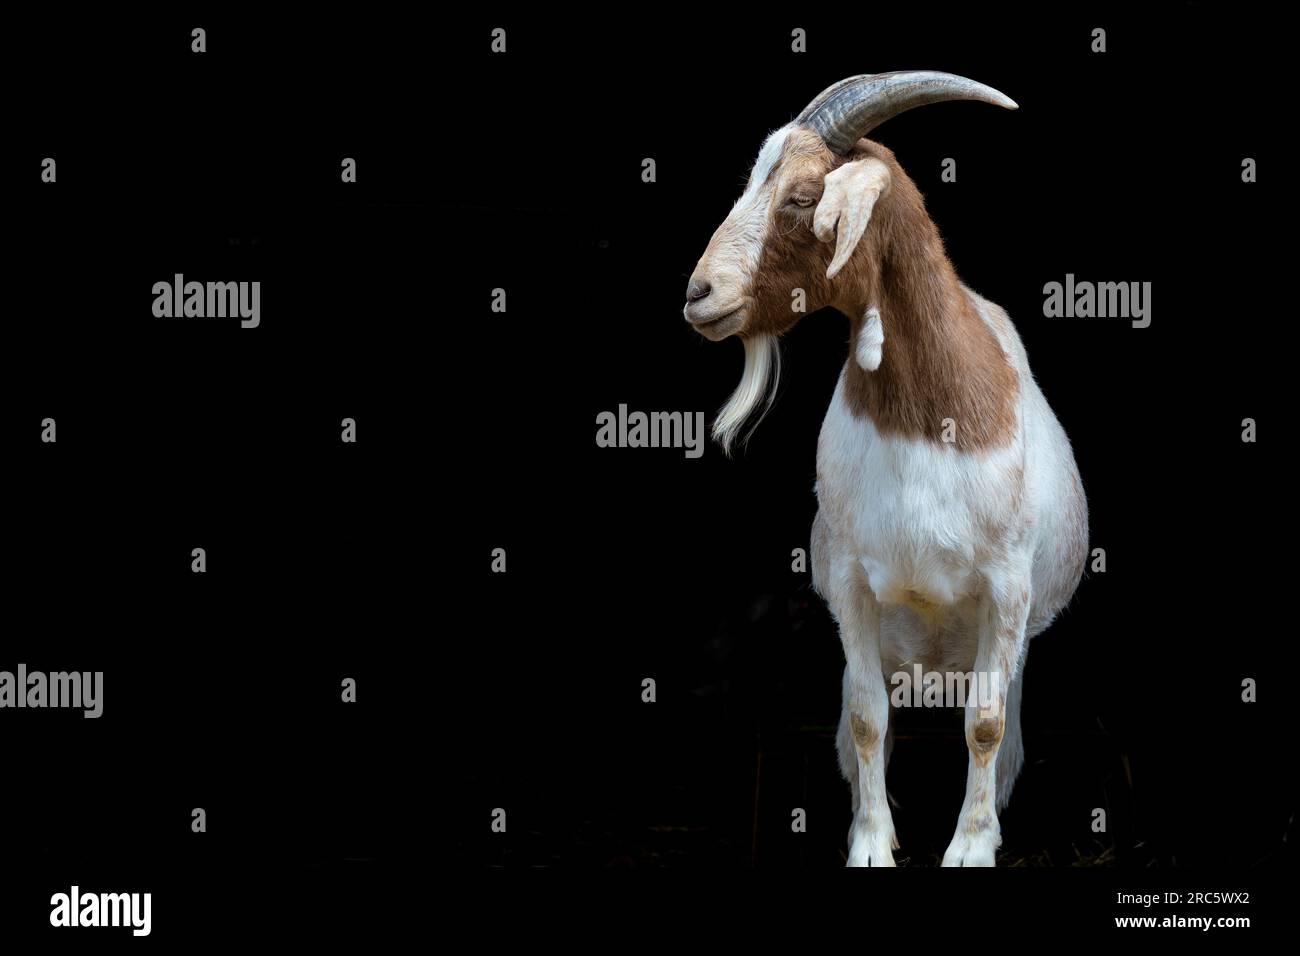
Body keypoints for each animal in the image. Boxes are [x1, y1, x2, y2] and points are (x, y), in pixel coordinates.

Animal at [683, 72, 1087, 866]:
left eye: (802, 198)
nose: (698, 294)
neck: (929, 422)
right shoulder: (851, 584)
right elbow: (869, 718)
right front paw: (870, 844)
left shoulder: (1008, 585)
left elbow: (985, 721)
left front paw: (971, 848)